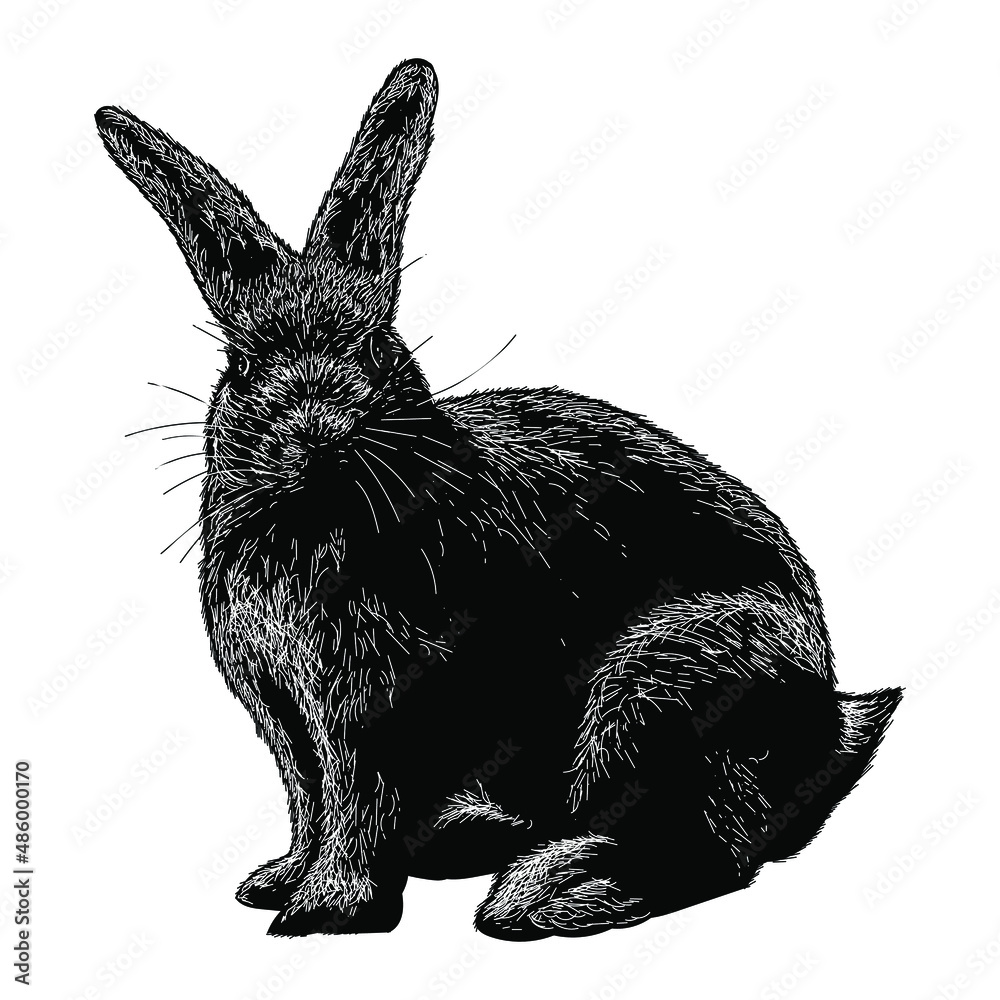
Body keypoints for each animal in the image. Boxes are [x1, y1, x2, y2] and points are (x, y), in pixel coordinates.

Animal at [96, 58, 902, 940]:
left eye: (376, 349)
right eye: (241, 367)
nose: (320, 436)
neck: (319, 519)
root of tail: (830, 716)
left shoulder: (371, 715)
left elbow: (350, 804)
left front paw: (325, 911)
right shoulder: (285, 717)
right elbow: (307, 800)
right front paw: (275, 882)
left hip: (660, 685)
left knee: (701, 851)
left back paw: (540, 895)